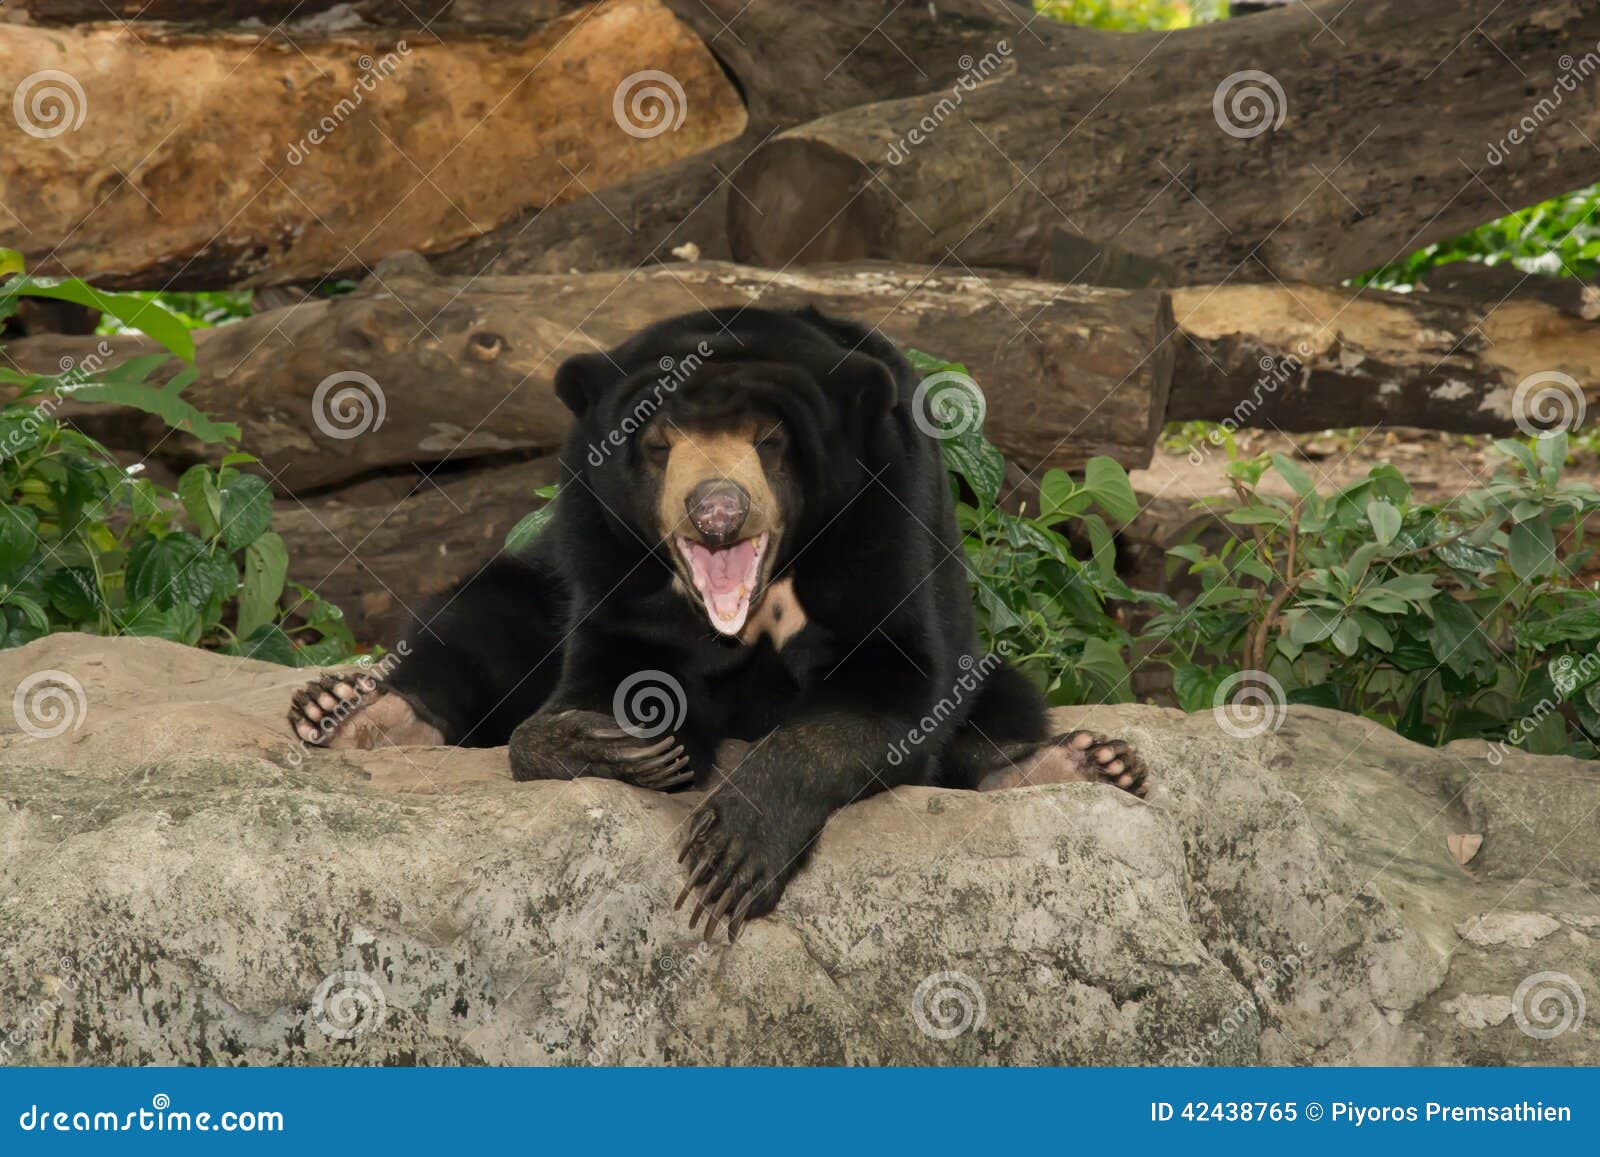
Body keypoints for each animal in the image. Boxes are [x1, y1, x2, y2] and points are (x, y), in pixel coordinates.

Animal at [288, 306, 1146, 940]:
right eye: (658, 443)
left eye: (769, 441)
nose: (718, 511)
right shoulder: (602, 538)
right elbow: (608, 668)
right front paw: (613, 742)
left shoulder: (884, 507)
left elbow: (890, 680)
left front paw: (732, 851)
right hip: (531, 577)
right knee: (481, 612)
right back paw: (349, 714)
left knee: (1000, 699)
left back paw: (1082, 763)